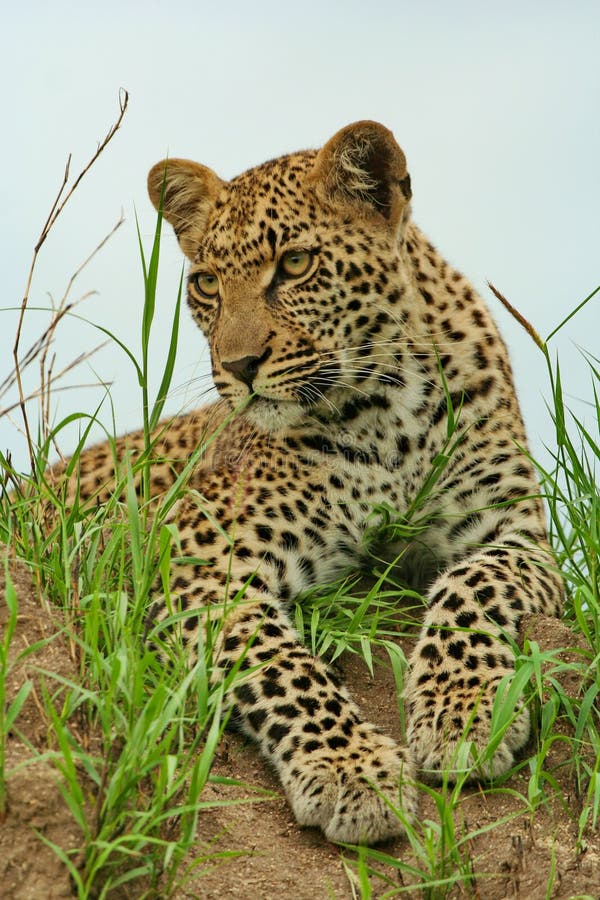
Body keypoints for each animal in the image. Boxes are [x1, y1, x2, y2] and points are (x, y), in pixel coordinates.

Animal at [55, 121, 563, 845]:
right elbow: (276, 664)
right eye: (206, 283)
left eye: (295, 265)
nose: (238, 366)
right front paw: (352, 770)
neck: (390, 411)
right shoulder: (197, 554)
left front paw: (462, 713)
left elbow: (471, 586)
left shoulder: (515, 536)